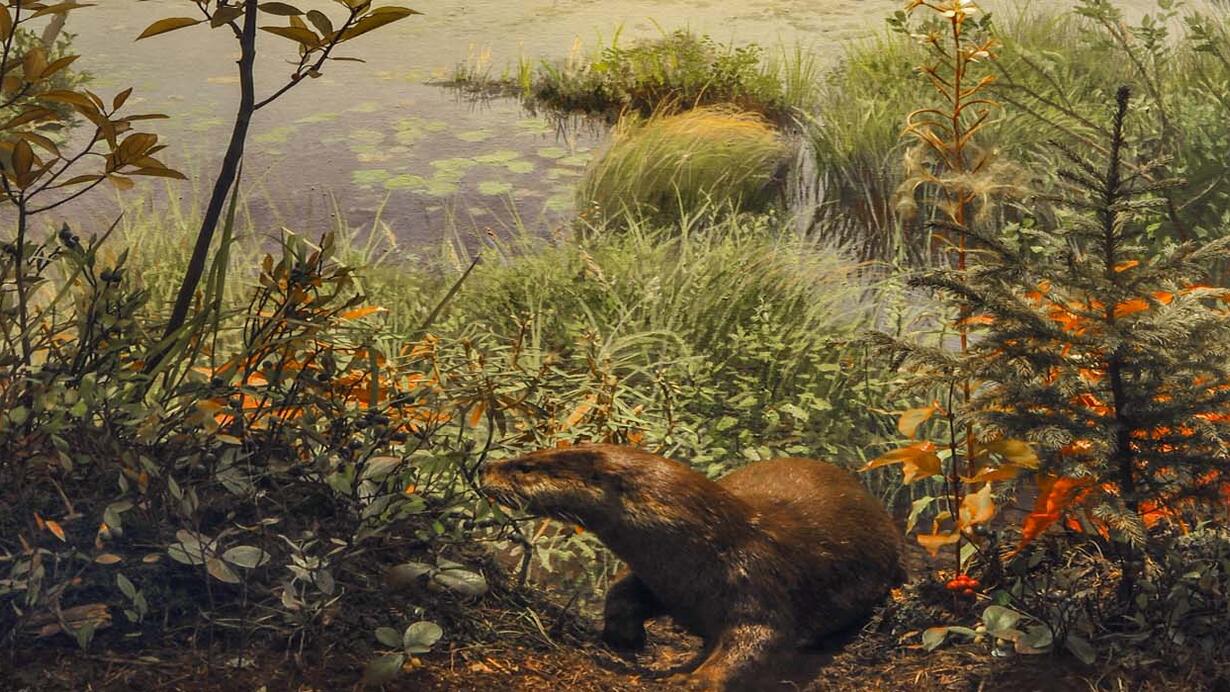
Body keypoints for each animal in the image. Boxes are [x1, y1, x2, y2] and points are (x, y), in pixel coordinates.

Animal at [482, 444, 904, 690]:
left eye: (525, 467)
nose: (486, 467)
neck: (712, 545)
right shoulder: (666, 581)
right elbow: (622, 590)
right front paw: (624, 638)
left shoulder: (762, 581)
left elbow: (759, 640)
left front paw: (695, 677)